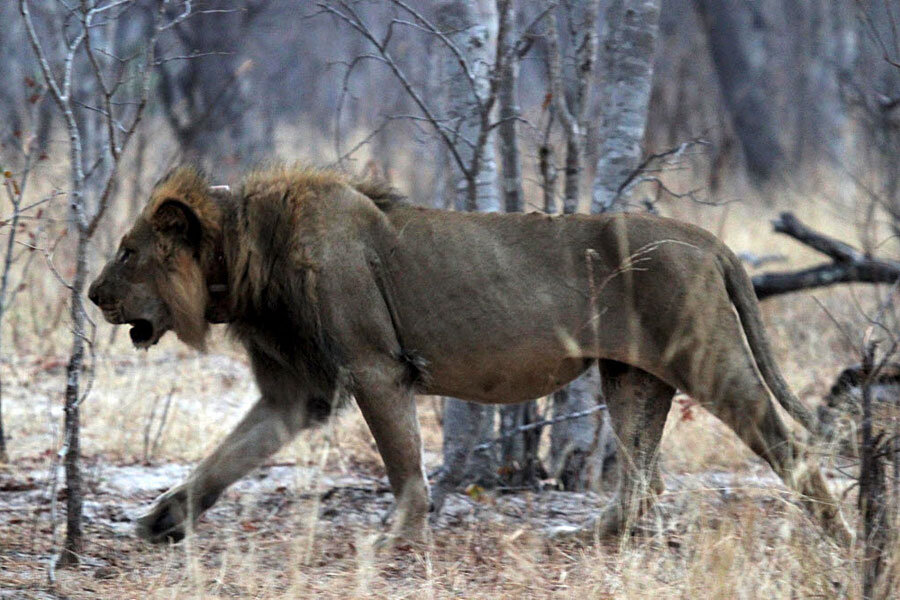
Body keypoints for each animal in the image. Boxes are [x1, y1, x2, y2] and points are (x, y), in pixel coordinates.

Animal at [88, 165, 851, 546]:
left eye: (127, 253)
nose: (93, 296)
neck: (246, 253)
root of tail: (709, 239)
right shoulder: (294, 393)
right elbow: (224, 458)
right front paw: (162, 520)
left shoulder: (376, 366)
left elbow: (402, 463)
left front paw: (397, 538)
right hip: (631, 377)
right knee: (640, 477)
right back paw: (586, 536)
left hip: (707, 361)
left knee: (787, 446)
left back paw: (845, 538)